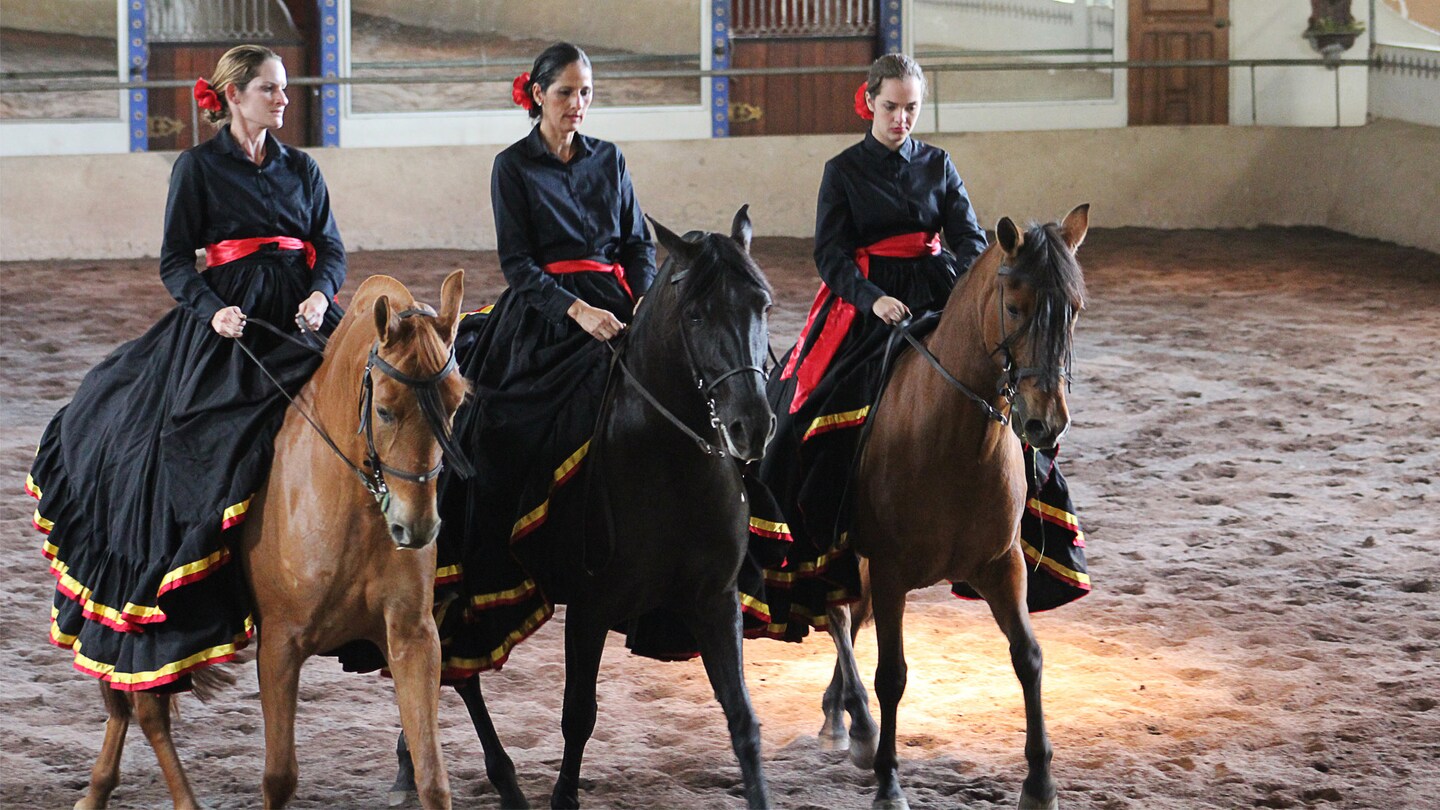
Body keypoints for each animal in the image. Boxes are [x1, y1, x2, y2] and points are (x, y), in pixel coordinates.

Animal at [73, 271, 472, 810]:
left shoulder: (413, 637)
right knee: (142, 705)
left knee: (129, 705)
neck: (349, 509)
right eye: (386, 411)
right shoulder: (281, 643)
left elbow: (432, 777)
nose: (418, 527)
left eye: (456, 402)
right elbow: (279, 776)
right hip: (142, 617)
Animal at [392, 207, 776, 809]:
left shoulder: (715, 599)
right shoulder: (592, 605)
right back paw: (502, 780)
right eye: (695, 315)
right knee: (460, 671)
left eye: (763, 305)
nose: (751, 427)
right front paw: (562, 796)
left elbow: (743, 720)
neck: (667, 465)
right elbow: (578, 714)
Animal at [819, 205, 1089, 810]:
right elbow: (891, 675)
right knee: (840, 616)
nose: (1046, 422)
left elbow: (1028, 657)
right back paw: (859, 725)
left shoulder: (1002, 564)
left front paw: (1040, 785)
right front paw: (888, 784)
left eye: (1075, 309)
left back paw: (837, 713)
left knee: (850, 616)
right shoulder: (889, 569)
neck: (952, 439)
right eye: (1014, 306)